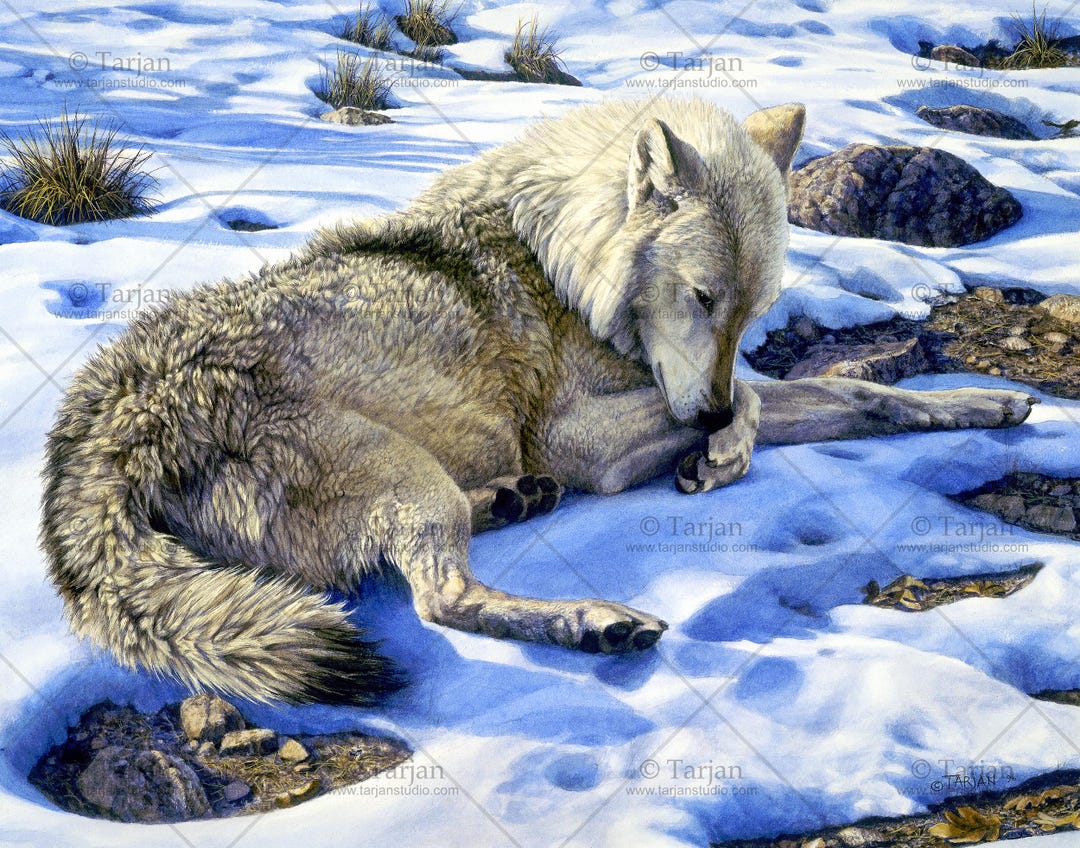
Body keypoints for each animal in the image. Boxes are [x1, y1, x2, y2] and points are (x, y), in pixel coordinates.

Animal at [41, 98, 1036, 704]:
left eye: (752, 310)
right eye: (702, 298)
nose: (707, 423)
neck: (557, 259)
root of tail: (109, 426)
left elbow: (847, 389)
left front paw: (983, 405)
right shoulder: (581, 439)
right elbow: (766, 397)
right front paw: (723, 453)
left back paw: (515, 501)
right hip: (406, 475)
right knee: (440, 599)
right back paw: (595, 621)